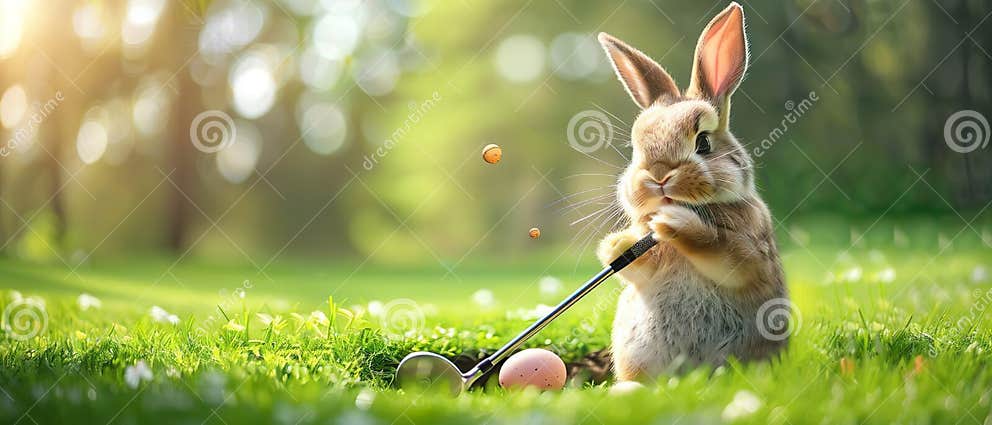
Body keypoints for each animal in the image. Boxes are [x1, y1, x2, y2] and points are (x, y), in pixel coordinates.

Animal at [594, 2, 789, 382]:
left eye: (703, 143)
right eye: (635, 149)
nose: (658, 175)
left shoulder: (752, 251)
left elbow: (723, 251)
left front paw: (675, 223)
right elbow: (636, 266)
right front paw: (617, 244)